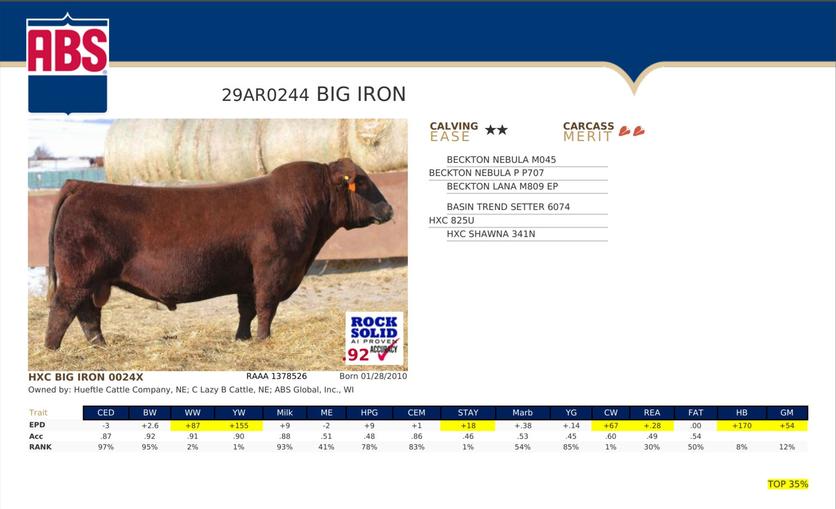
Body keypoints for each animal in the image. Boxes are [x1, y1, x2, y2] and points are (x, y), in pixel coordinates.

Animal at [44, 158, 394, 350]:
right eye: (362, 182)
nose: (389, 210)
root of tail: (82, 185)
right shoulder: (272, 270)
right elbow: (266, 308)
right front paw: (263, 340)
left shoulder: (248, 279)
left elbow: (246, 311)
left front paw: (242, 339)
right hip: (78, 277)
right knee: (64, 309)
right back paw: (51, 350)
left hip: (91, 280)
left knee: (88, 315)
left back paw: (100, 347)